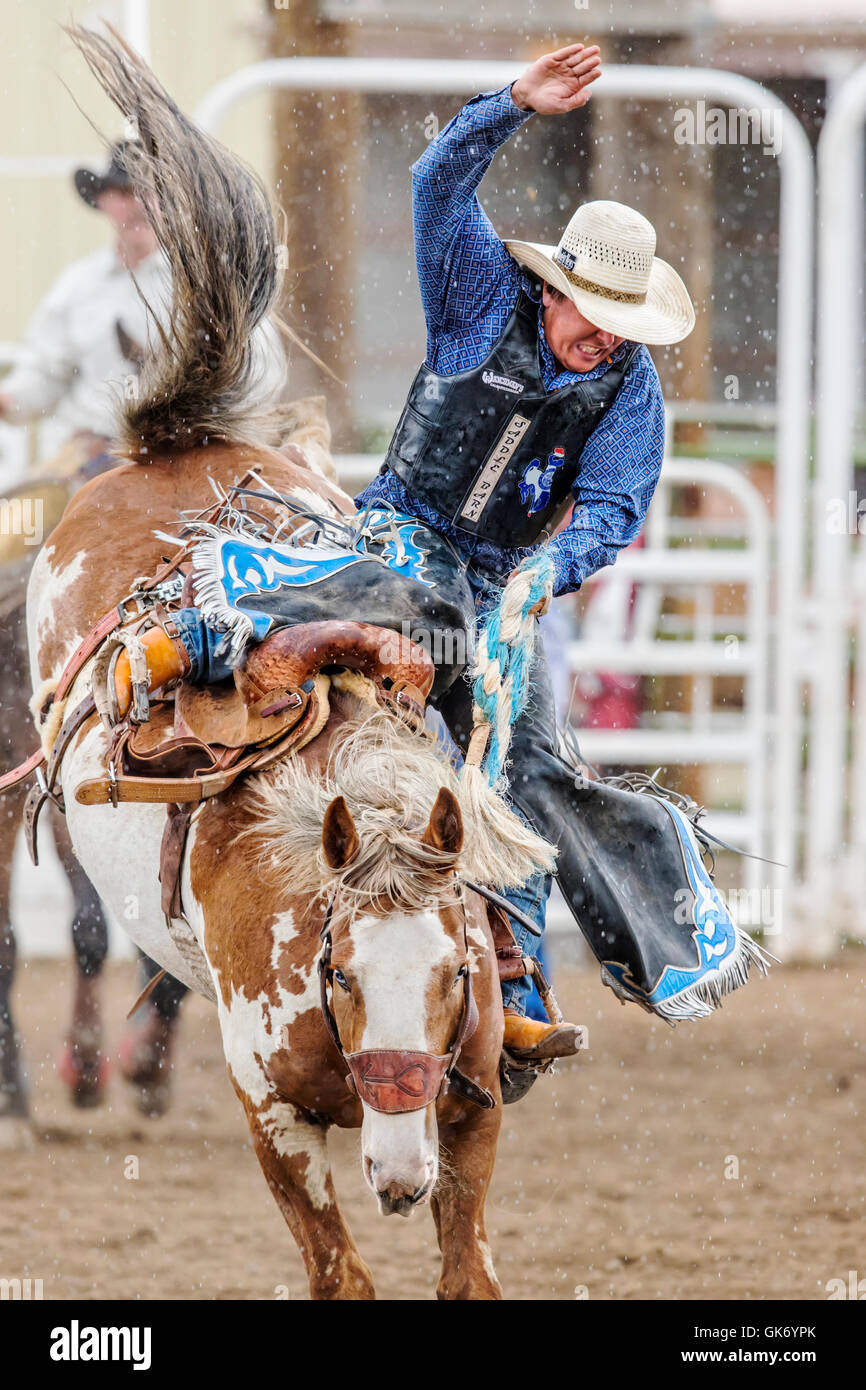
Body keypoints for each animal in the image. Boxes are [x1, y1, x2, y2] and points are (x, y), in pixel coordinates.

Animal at [23, 26, 554, 1296]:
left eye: (455, 974)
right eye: (346, 975)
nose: (398, 1172)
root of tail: (173, 443)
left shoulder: (468, 1110)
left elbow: (466, 1267)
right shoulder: (271, 1118)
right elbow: (337, 1270)